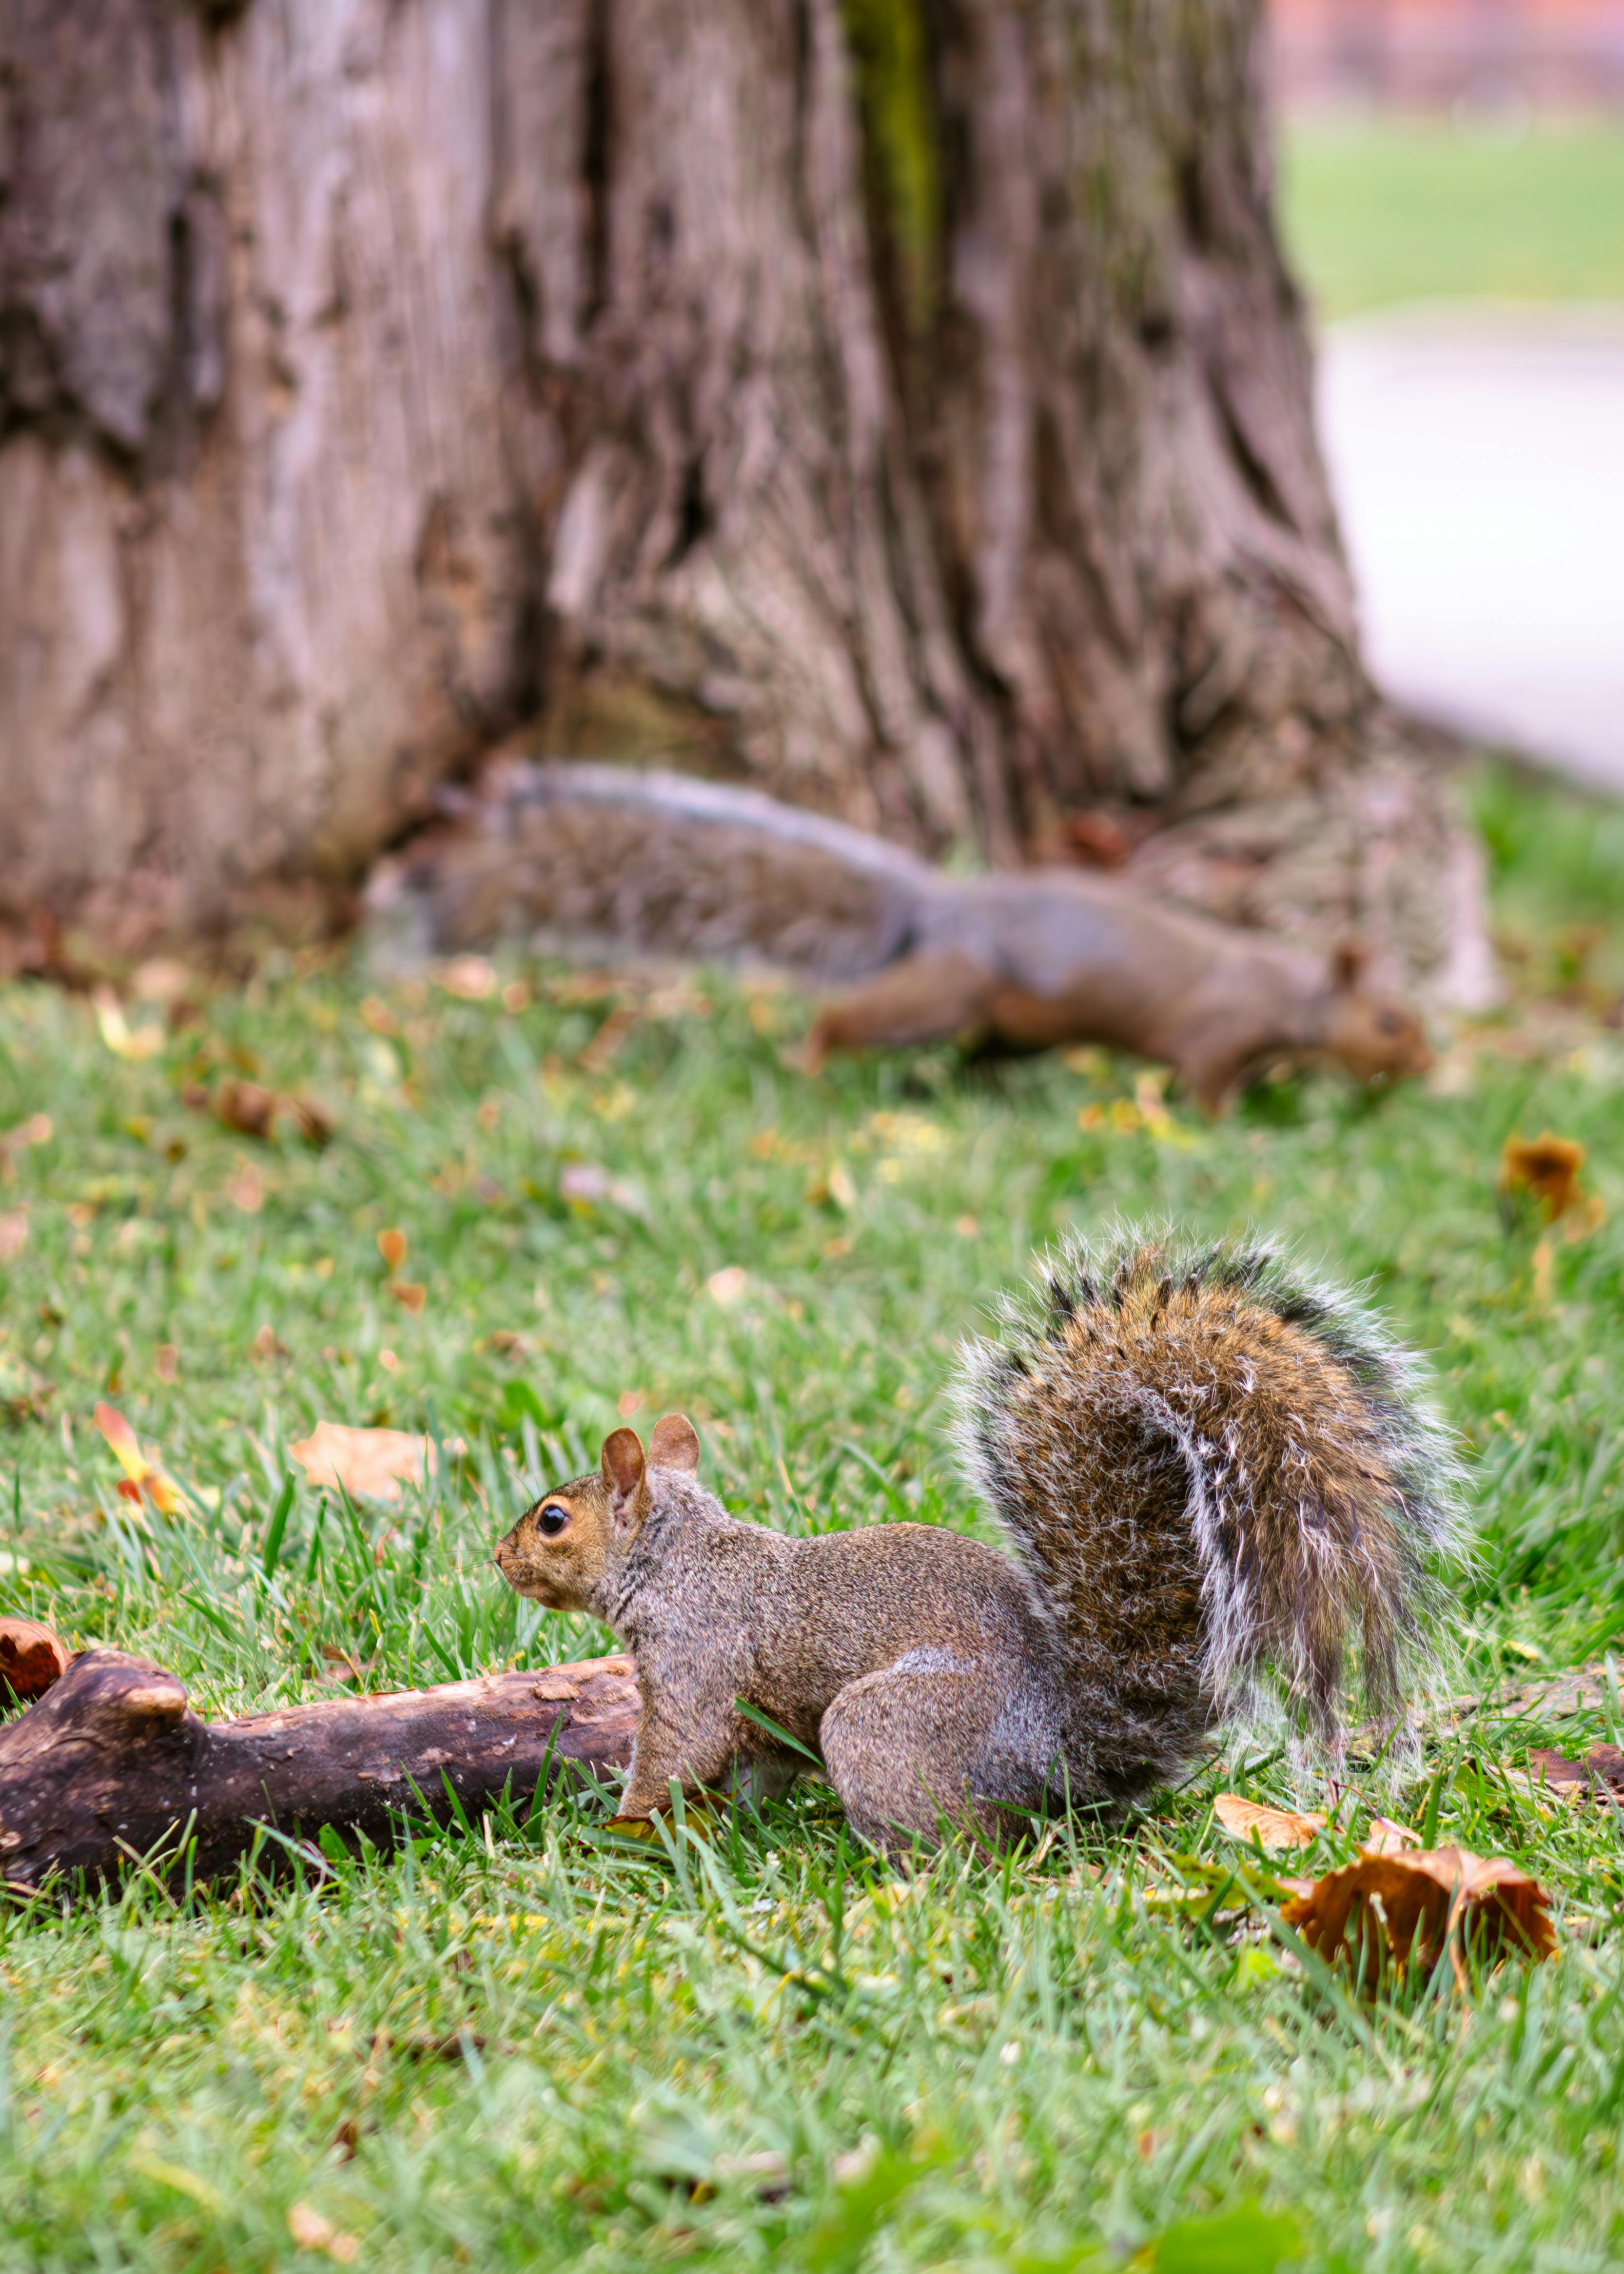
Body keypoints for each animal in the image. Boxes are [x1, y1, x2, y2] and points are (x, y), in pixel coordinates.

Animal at [366, 757, 1433, 1112]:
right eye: (1387, 1019)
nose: (1422, 1066)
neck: (1288, 989)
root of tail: (942, 912)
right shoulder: (1217, 1030)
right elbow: (1208, 1081)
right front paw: (1228, 1125)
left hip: (1011, 1018)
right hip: (944, 988)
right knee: (851, 1017)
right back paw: (810, 1056)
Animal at [493, 1230, 1462, 1854]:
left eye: (551, 1518)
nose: (498, 1559)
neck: (680, 1559)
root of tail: (1057, 1756)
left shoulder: (695, 1661)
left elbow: (673, 1754)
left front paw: (616, 1831)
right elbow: (755, 1764)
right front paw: (734, 1822)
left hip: (881, 1726)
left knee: (967, 1847)